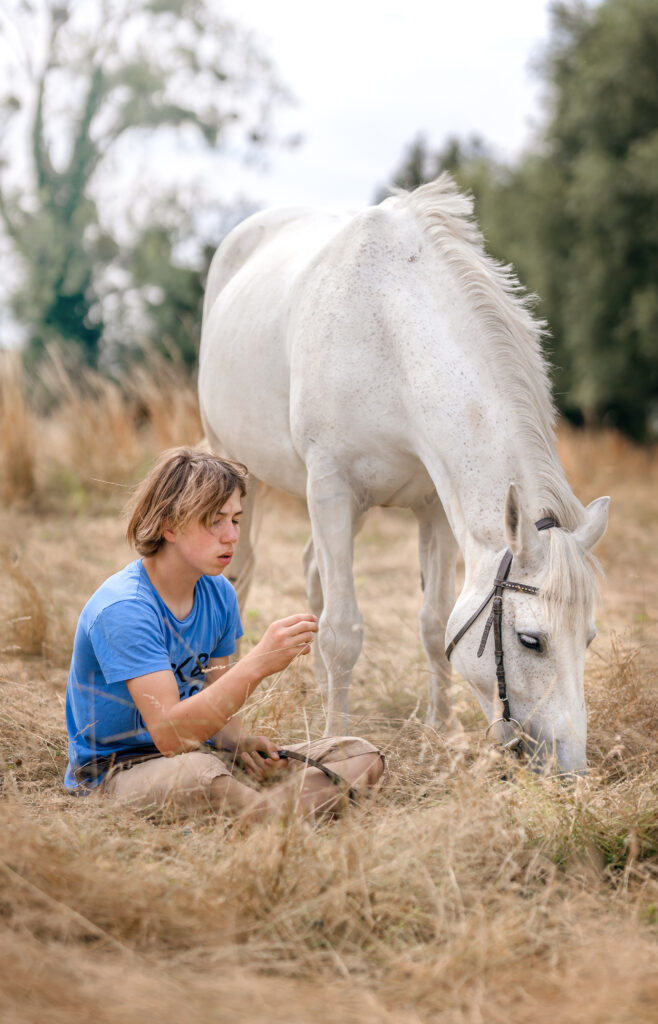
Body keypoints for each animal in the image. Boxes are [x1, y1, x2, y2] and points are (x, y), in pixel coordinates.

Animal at [198, 174, 609, 773]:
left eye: (589, 638)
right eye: (531, 640)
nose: (569, 769)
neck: (389, 334)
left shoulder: (433, 507)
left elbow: (435, 622)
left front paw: (444, 731)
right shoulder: (331, 490)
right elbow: (343, 631)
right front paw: (334, 742)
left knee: (314, 577)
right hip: (237, 466)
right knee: (242, 576)